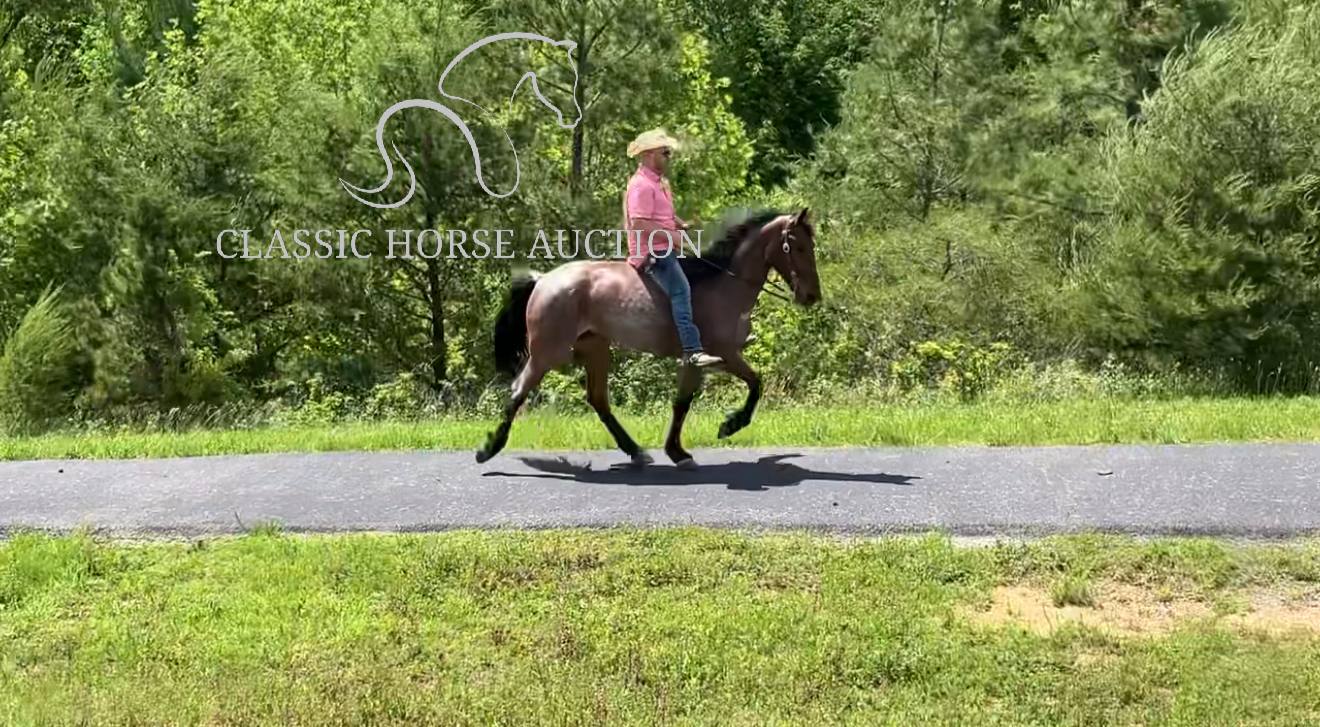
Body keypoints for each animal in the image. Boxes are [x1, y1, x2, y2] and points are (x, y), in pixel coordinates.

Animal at [475, 208, 822, 468]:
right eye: (797, 247)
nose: (812, 296)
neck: (724, 283)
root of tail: (543, 280)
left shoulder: (701, 361)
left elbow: (684, 402)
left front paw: (678, 451)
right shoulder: (720, 354)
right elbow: (753, 384)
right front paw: (728, 426)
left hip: (596, 349)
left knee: (598, 400)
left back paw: (636, 451)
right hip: (547, 353)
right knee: (519, 391)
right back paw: (488, 449)